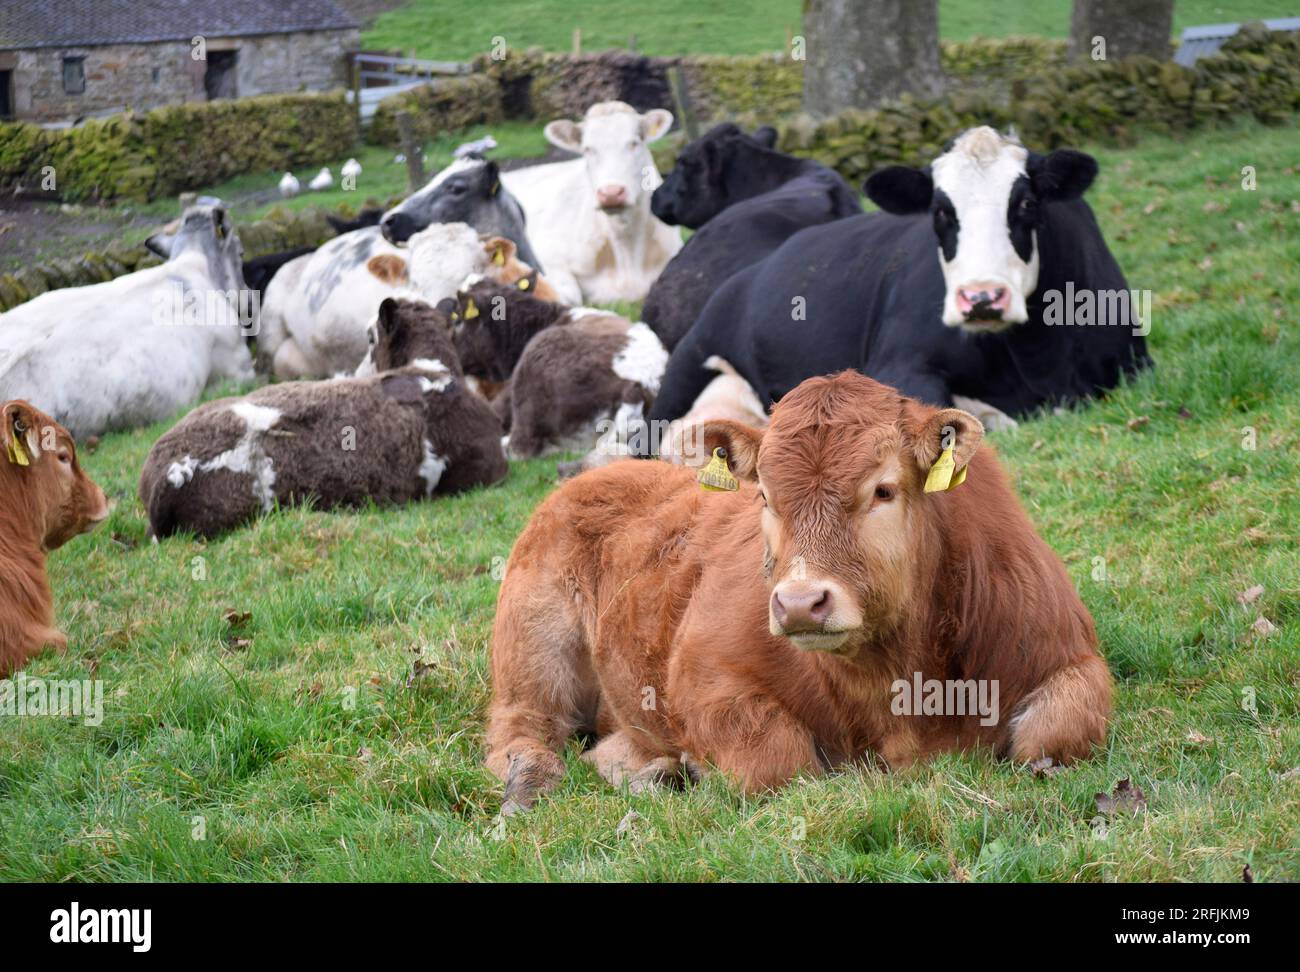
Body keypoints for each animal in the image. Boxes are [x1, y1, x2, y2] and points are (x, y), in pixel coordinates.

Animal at [485, 371, 1111, 810]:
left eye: (884, 490)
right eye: (764, 495)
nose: (799, 603)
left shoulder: (1068, 654)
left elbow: (1052, 735)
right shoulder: (701, 670)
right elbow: (778, 762)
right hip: (534, 648)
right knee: (520, 729)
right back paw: (536, 780)